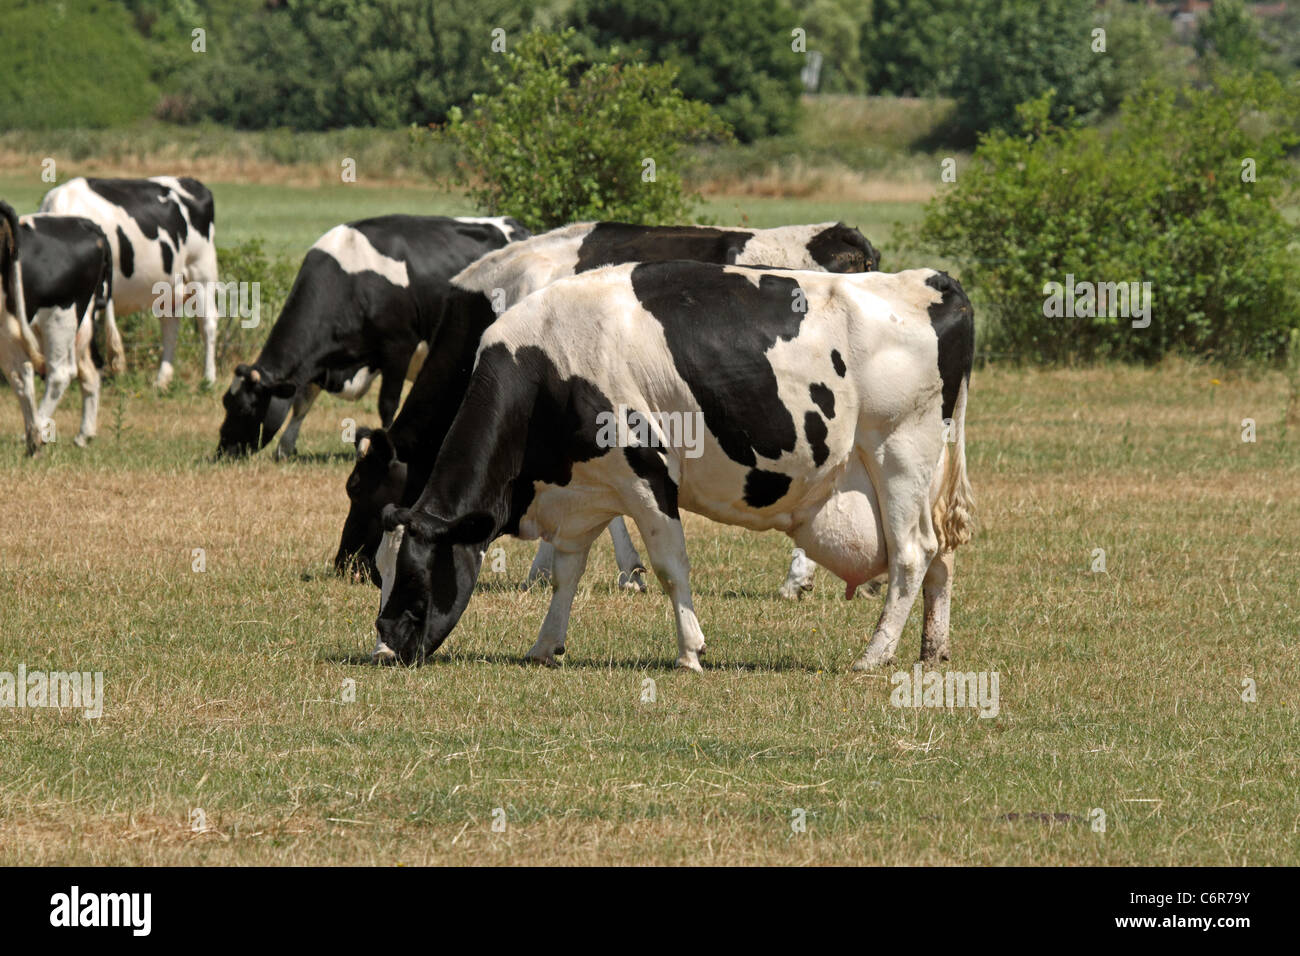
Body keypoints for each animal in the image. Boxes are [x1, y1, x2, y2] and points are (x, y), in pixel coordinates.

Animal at [1, 202, 125, 454]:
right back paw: (80, 435)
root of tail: (88, 224)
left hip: (58, 316)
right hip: (78, 321)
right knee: (88, 369)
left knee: (56, 373)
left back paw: (37, 435)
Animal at [40, 176, 217, 388]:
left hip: (202, 273)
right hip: (169, 287)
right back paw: (162, 380)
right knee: (170, 328)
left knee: (208, 325)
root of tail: (191, 181)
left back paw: (208, 379)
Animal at [215, 215, 529, 460]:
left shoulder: (399, 347)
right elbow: (303, 400)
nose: (223, 451)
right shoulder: (319, 362)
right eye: (225, 403)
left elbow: (387, 403)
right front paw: (285, 448)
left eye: (246, 407)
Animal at [370, 261, 974, 672]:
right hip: (924, 472)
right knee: (940, 556)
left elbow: (669, 567)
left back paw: (873, 655)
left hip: (899, 454)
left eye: (417, 576)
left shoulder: (646, 478)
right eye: (381, 571)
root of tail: (930, 281)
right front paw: (545, 646)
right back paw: (932, 650)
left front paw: (690, 652)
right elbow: (566, 572)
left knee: (912, 555)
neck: (544, 370)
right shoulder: (584, 492)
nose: (384, 643)